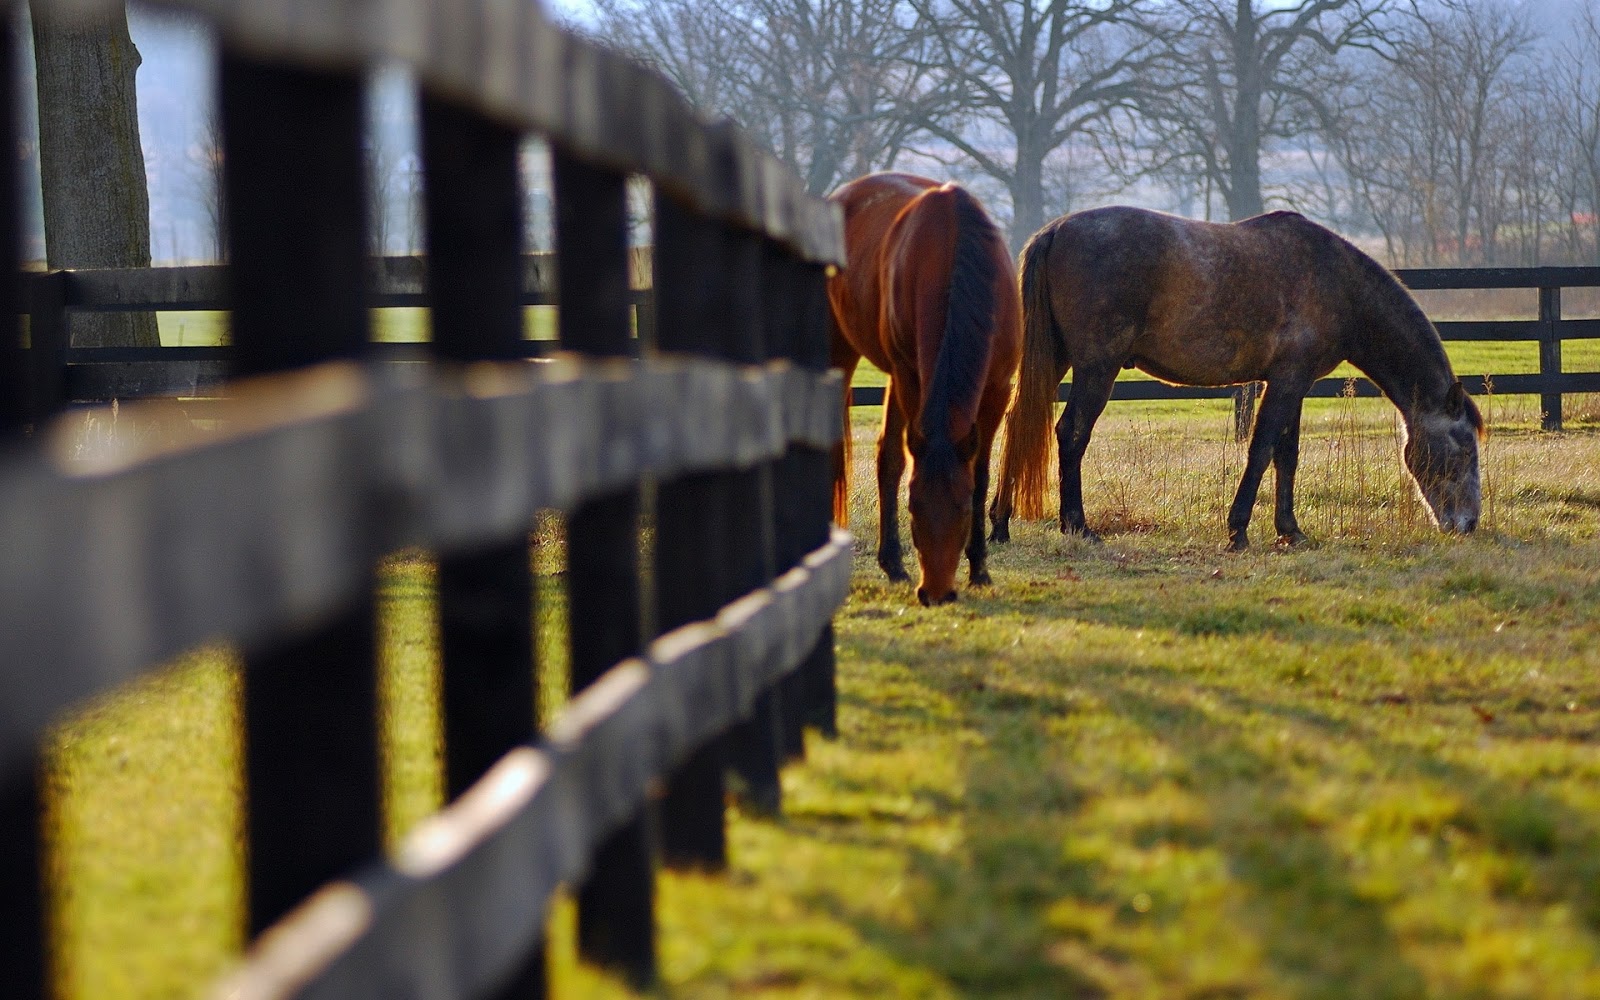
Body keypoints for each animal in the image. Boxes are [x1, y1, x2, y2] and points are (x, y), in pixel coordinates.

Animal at [827, 173, 1022, 605]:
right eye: (913, 507)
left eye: (963, 508)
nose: (935, 593)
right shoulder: (911, 376)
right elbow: (901, 464)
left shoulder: (998, 388)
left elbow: (981, 472)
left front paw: (980, 569)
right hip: (843, 351)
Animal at [990, 206, 1484, 551]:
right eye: (1463, 447)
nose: (1469, 525)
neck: (1337, 282)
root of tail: (1058, 229)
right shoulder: (1285, 382)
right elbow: (1262, 449)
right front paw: (1238, 531)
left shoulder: (1294, 383)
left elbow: (1287, 455)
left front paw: (1290, 531)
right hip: (1097, 367)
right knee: (1071, 434)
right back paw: (1077, 525)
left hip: (1056, 360)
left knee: (1019, 426)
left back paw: (999, 523)